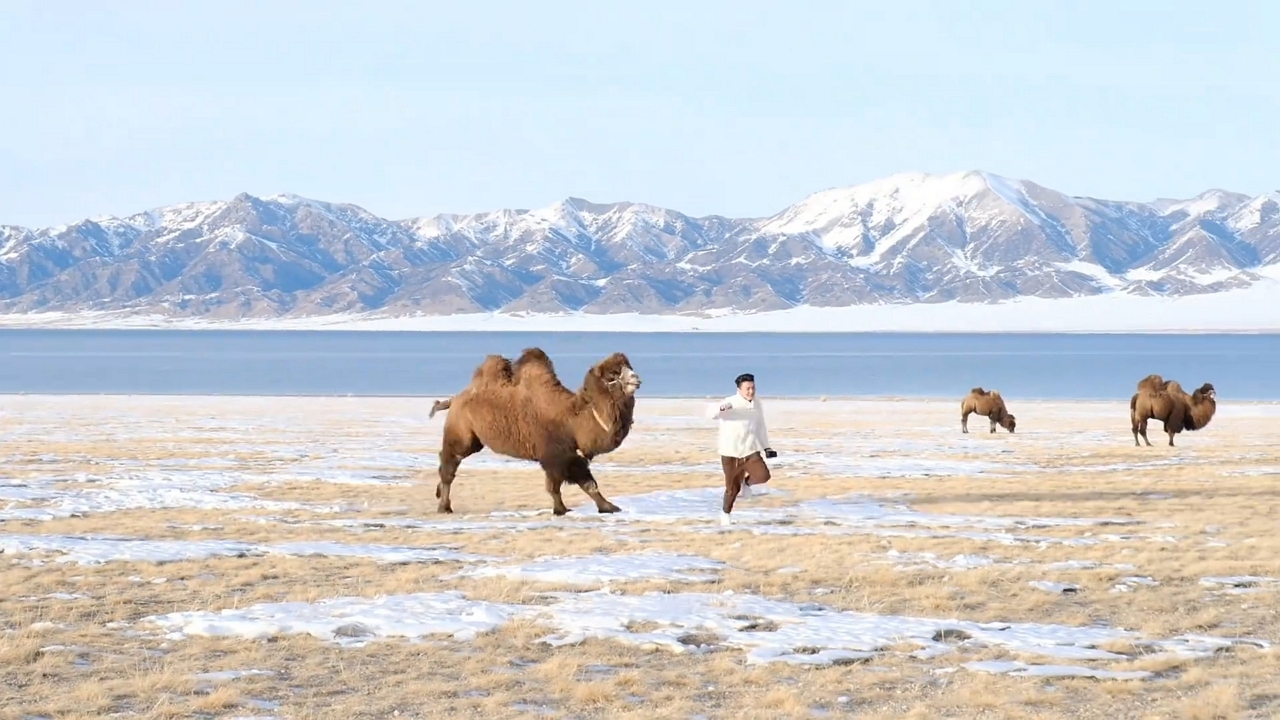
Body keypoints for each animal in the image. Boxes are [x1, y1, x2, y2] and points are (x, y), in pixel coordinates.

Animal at [427, 347, 641, 516]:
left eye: (630, 368)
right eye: (613, 374)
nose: (636, 378)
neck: (573, 420)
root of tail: (454, 399)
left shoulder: (571, 456)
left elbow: (589, 484)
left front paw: (609, 507)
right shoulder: (554, 456)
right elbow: (555, 487)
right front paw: (560, 510)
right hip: (461, 433)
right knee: (449, 465)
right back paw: (444, 507)